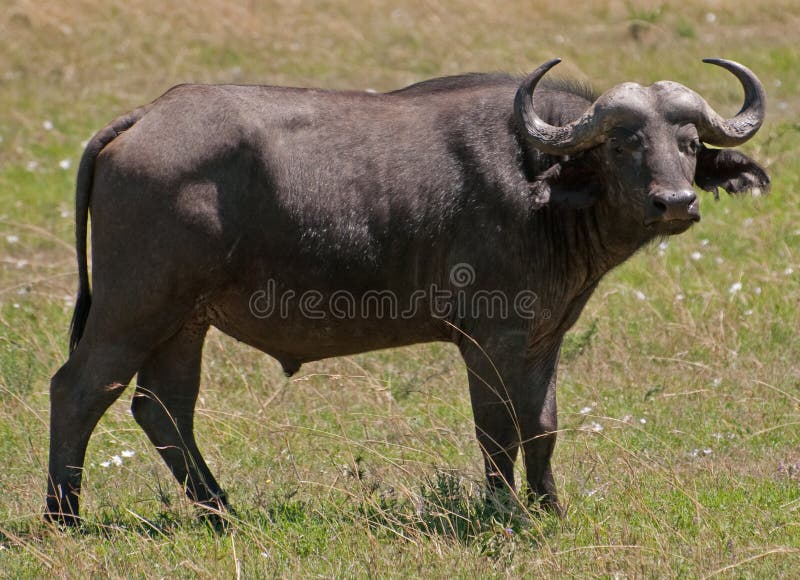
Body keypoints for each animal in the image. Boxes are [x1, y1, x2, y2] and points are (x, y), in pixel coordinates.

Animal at [46, 58, 769, 523]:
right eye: (623, 145)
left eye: (686, 143)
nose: (675, 202)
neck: (538, 182)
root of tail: (145, 118)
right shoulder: (491, 340)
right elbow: (496, 431)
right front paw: (505, 513)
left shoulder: (543, 338)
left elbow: (542, 426)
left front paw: (550, 510)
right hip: (134, 309)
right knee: (79, 390)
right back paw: (64, 515)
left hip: (184, 322)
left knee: (162, 409)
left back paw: (222, 511)